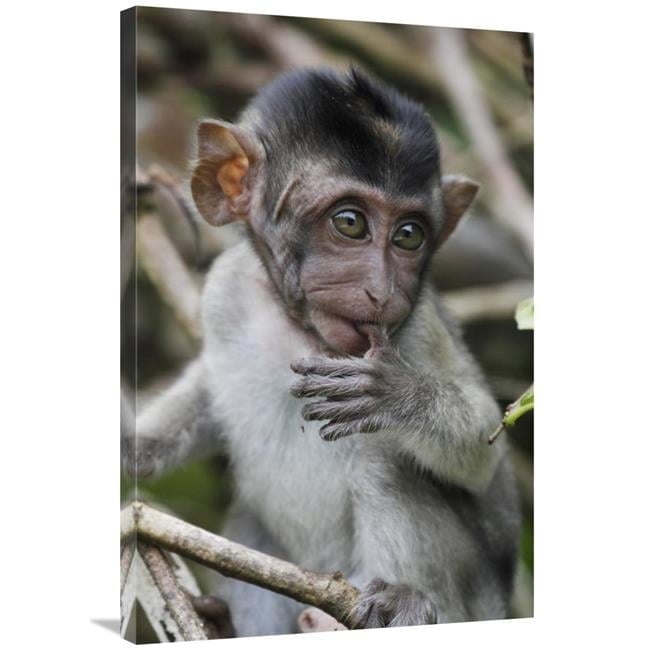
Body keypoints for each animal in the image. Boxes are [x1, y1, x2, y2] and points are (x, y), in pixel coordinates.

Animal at [123, 67, 521, 636]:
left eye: (409, 235)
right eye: (349, 223)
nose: (382, 291)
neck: (301, 328)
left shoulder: (418, 329)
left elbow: (482, 452)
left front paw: (396, 396)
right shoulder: (223, 291)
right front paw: (130, 443)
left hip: (473, 604)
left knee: (383, 462)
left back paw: (397, 605)